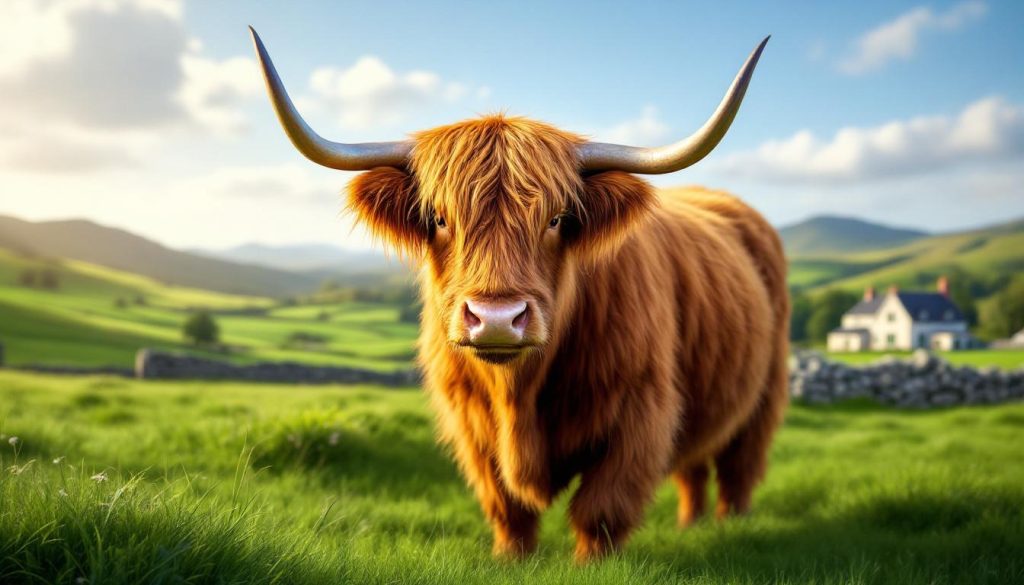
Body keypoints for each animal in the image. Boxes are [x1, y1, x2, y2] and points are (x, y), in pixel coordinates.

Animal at [250, 28, 788, 562]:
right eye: (439, 218)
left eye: (556, 219)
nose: (496, 318)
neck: (520, 396)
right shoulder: (469, 422)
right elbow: (506, 504)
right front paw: (512, 556)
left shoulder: (640, 411)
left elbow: (601, 508)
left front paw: (591, 565)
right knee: (693, 468)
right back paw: (690, 525)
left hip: (765, 392)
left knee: (739, 465)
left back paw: (732, 526)